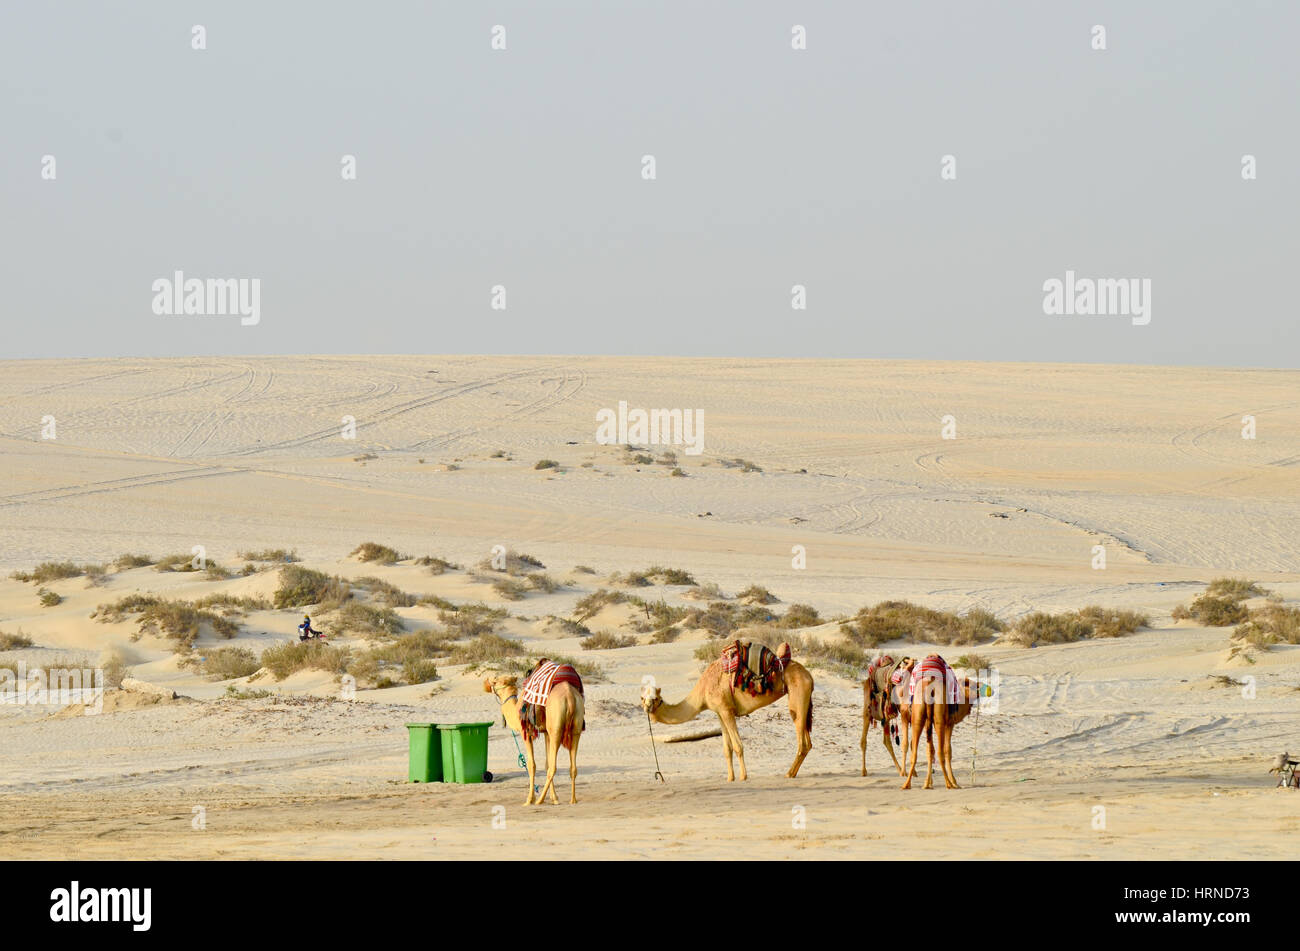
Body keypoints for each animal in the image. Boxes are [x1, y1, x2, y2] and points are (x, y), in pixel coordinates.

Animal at [484, 673, 584, 805]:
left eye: (495, 681)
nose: (485, 682)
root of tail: (570, 697)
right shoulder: (546, 732)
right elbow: (546, 763)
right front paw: (554, 798)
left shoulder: (526, 732)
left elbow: (532, 765)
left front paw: (529, 799)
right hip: (576, 728)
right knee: (572, 768)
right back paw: (573, 800)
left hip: (556, 730)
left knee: (553, 767)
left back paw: (539, 800)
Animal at [641, 640, 814, 781]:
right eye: (642, 698)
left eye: (655, 698)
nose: (647, 707)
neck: (702, 690)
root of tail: (809, 676)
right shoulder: (719, 712)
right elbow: (727, 749)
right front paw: (730, 778)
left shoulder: (726, 710)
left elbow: (737, 746)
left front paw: (743, 777)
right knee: (808, 742)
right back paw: (792, 773)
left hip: (797, 697)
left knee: (802, 741)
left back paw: (788, 774)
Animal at [899, 655, 979, 790]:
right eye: (974, 686)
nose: (991, 690)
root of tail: (929, 682)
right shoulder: (949, 724)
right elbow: (948, 751)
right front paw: (954, 782)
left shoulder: (927, 722)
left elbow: (929, 750)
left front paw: (928, 783)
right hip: (938, 719)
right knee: (940, 751)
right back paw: (949, 783)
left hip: (918, 718)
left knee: (914, 750)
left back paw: (906, 783)